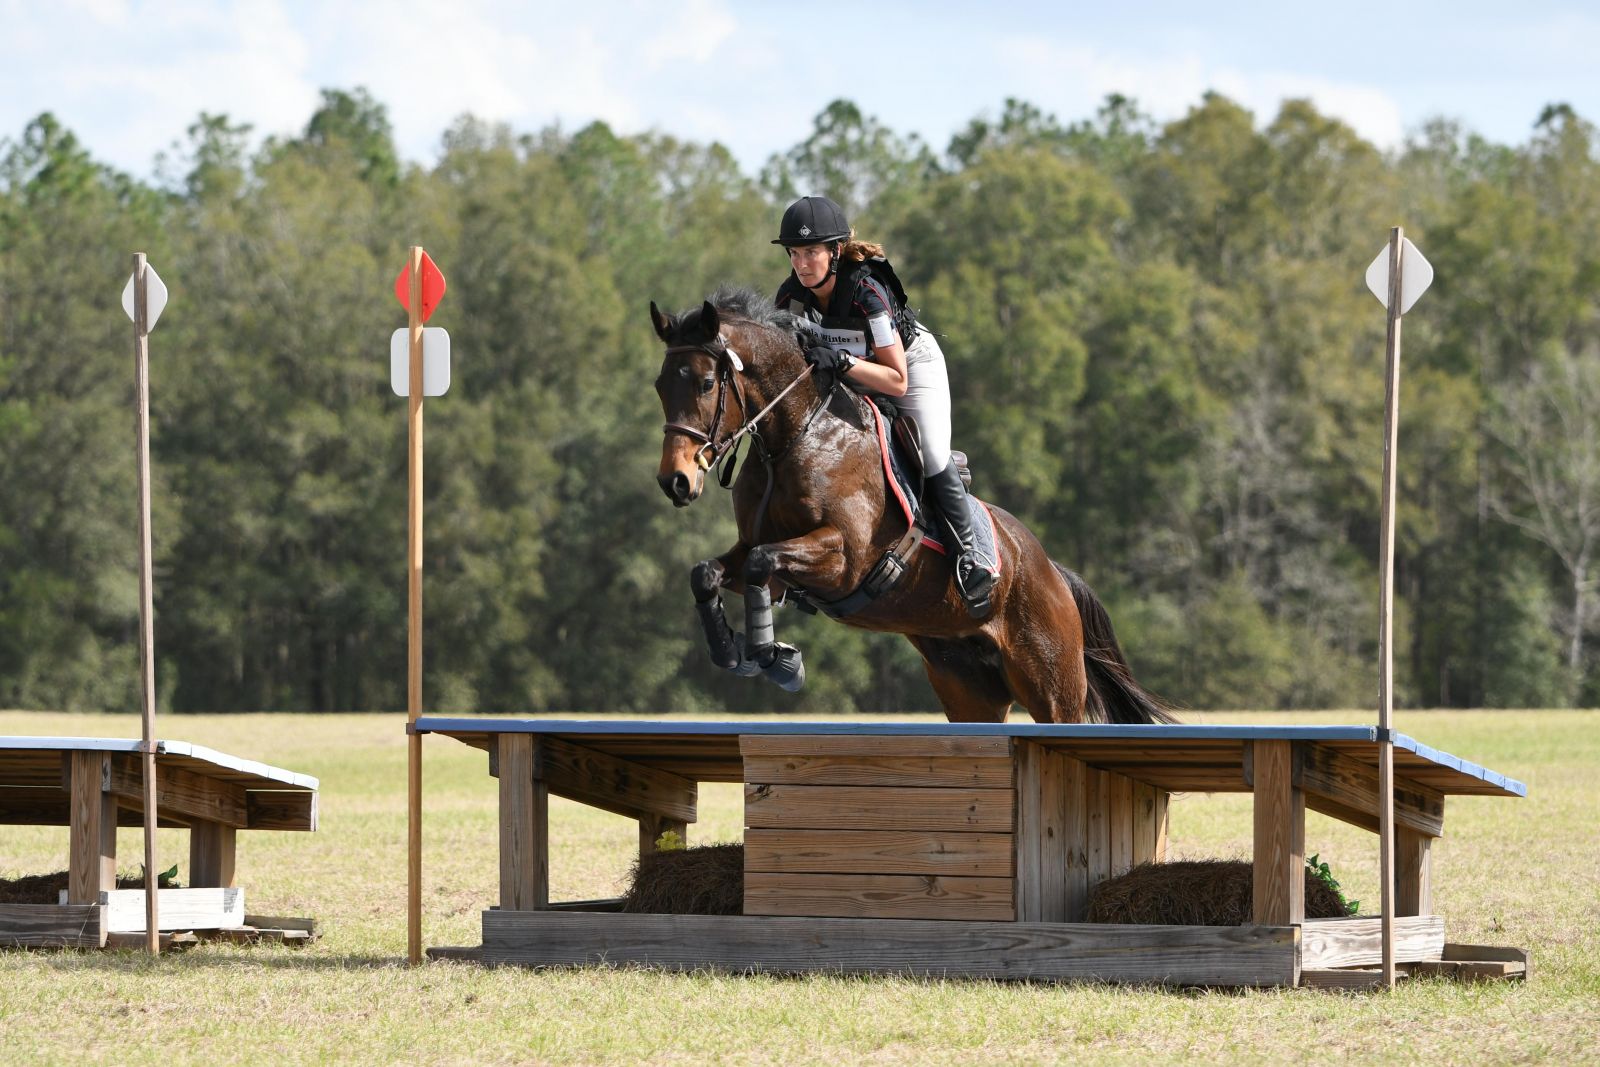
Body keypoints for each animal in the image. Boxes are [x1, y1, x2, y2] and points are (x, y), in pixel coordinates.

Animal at [650, 286, 1174, 725]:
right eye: (660, 385)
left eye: (705, 384)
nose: (675, 481)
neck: (797, 435)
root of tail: (1053, 573)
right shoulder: (754, 547)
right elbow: (708, 572)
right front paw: (730, 651)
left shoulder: (844, 558)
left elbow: (763, 563)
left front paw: (775, 659)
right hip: (966, 688)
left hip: (1051, 685)